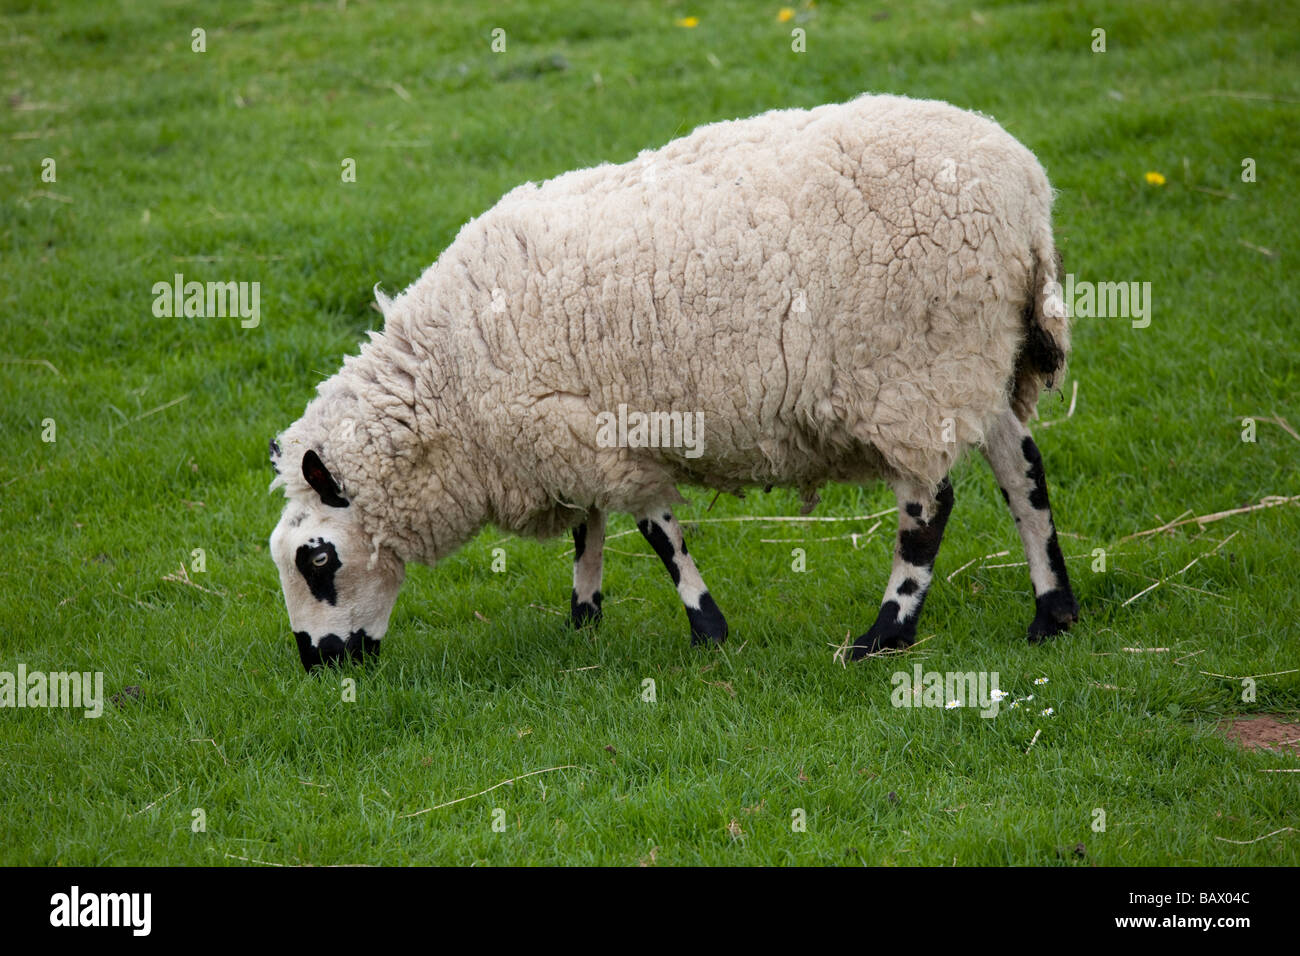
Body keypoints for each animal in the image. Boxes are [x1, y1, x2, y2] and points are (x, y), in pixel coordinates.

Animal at [268, 93, 1079, 671]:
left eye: (318, 559)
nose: (320, 665)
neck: (447, 384)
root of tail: (1026, 191)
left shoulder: (604, 439)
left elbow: (656, 532)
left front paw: (706, 629)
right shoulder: (568, 429)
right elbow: (589, 529)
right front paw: (584, 619)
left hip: (916, 373)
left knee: (928, 507)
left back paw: (885, 635)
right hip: (981, 361)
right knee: (1023, 472)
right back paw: (1053, 614)